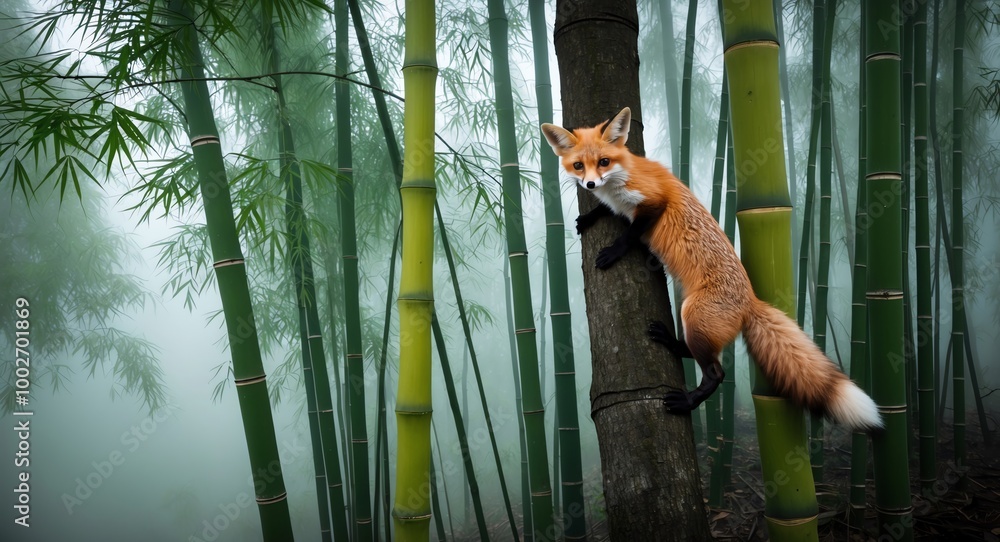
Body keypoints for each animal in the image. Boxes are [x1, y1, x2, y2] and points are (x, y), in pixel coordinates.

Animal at [540, 106, 882, 432]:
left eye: (604, 161)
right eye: (579, 166)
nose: (590, 184)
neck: (622, 178)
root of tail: (750, 301)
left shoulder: (655, 202)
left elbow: (631, 234)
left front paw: (613, 251)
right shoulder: (624, 205)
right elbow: (608, 210)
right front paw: (589, 216)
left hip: (693, 316)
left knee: (717, 373)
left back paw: (688, 399)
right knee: (698, 356)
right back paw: (671, 342)